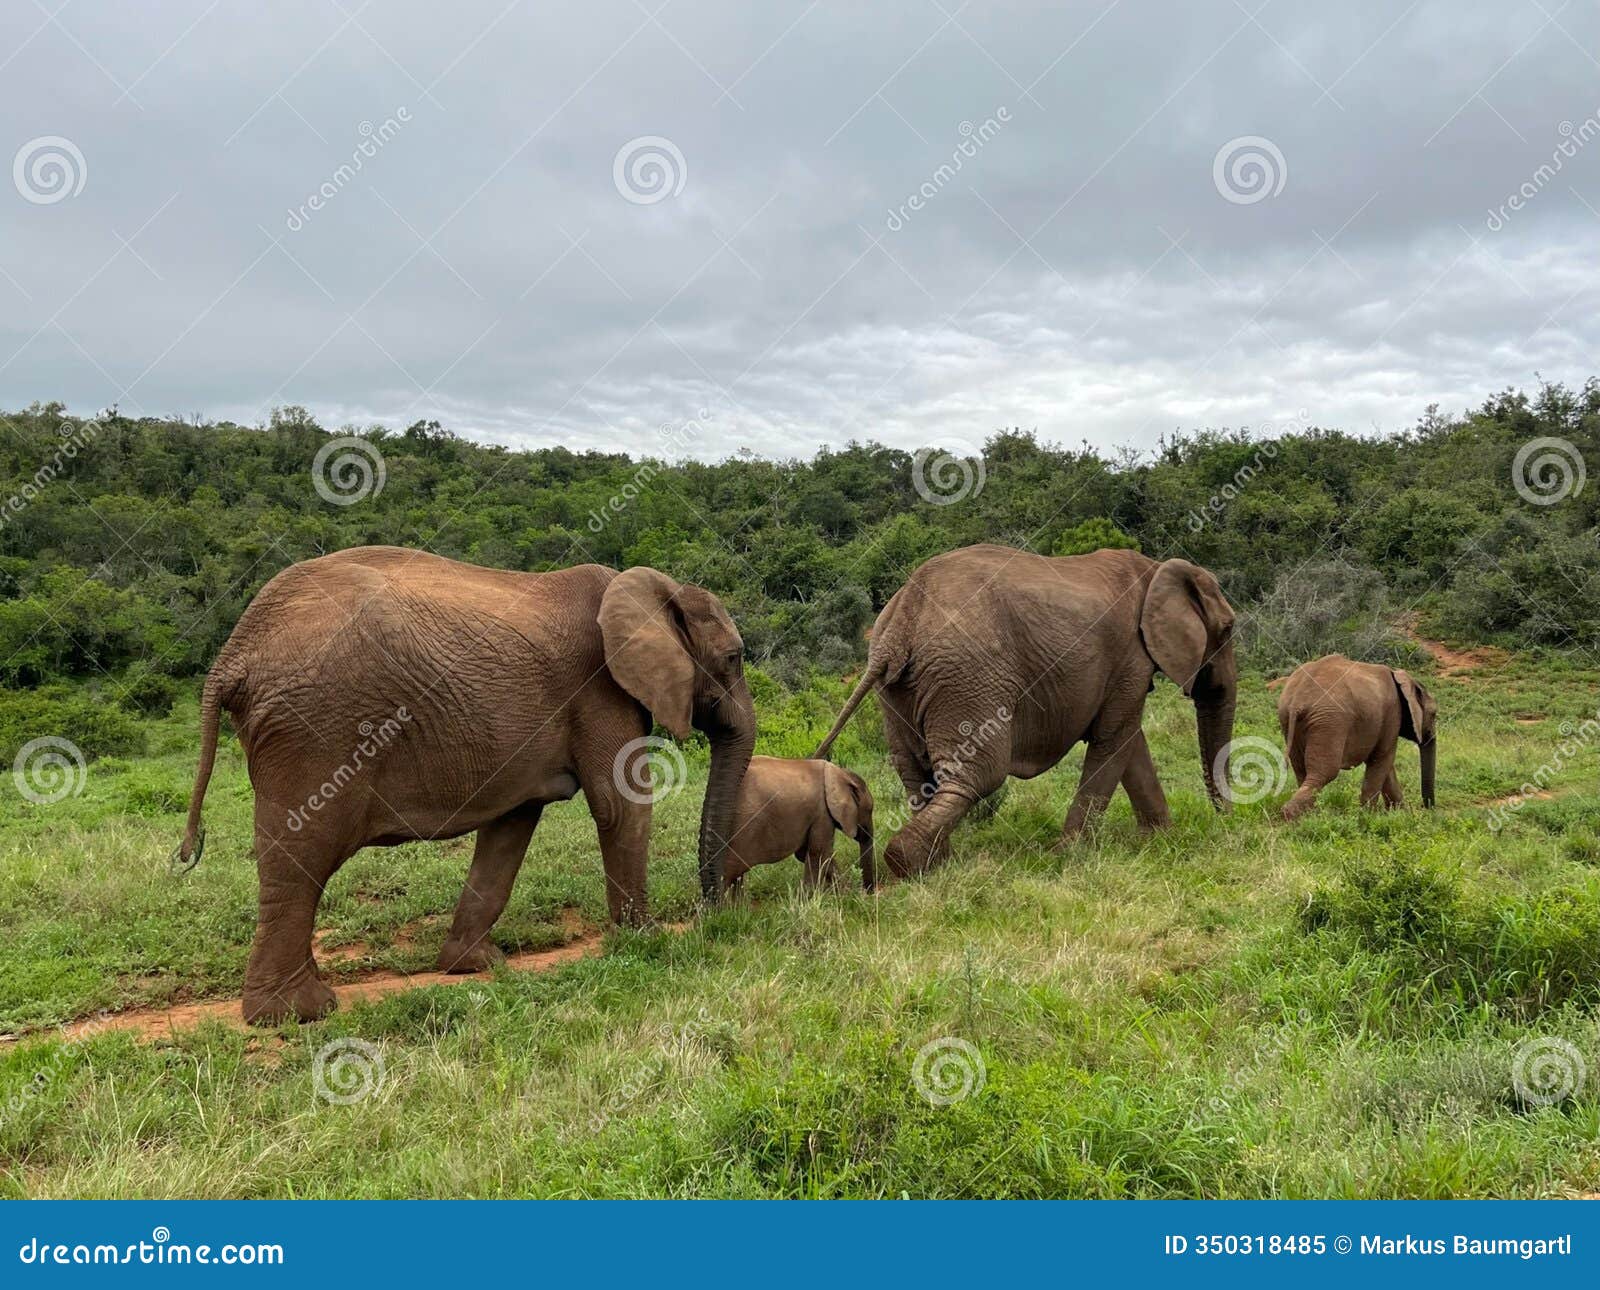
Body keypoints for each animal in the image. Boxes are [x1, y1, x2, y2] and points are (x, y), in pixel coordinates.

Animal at [177, 546, 754, 1024]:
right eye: (734, 658)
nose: (714, 913)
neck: (654, 588)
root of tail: (231, 656)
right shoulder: (600, 691)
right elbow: (620, 806)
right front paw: (645, 939)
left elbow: (512, 825)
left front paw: (475, 964)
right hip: (316, 731)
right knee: (303, 852)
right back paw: (297, 1013)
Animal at [723, 755, 875, 895]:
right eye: (869, 810)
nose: (868, 893)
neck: (842, 774)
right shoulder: (822, 813)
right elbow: (820, 852)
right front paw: (812, 897)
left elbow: (807, 853)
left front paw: (843, 894)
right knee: (730, 870)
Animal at [813, 544, 1238, 875]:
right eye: (1229, 628)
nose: (1226, 819)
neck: (1157, 567)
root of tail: (903, 614)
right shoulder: (1131, 657)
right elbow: (1115, 739)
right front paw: (1070, 854)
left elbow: (1128, 744)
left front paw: (1162, 841)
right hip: (970, 674)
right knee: (979, 774)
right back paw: (909, 861)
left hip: (900, 688)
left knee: (916, 775)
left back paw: (933, 865)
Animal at [1275, 655, 1437, 820]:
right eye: (1434, 714)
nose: (1427, 808)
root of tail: (1297, 700)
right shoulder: (1392, 713)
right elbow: (1382, 758)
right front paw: (1368, 816)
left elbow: (1385, 765)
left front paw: (1399, 814)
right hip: (1330, 721)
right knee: (1323, 773)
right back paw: (1294, 815)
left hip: (1289, 719)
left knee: (1301, 770)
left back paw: (1308, 816)